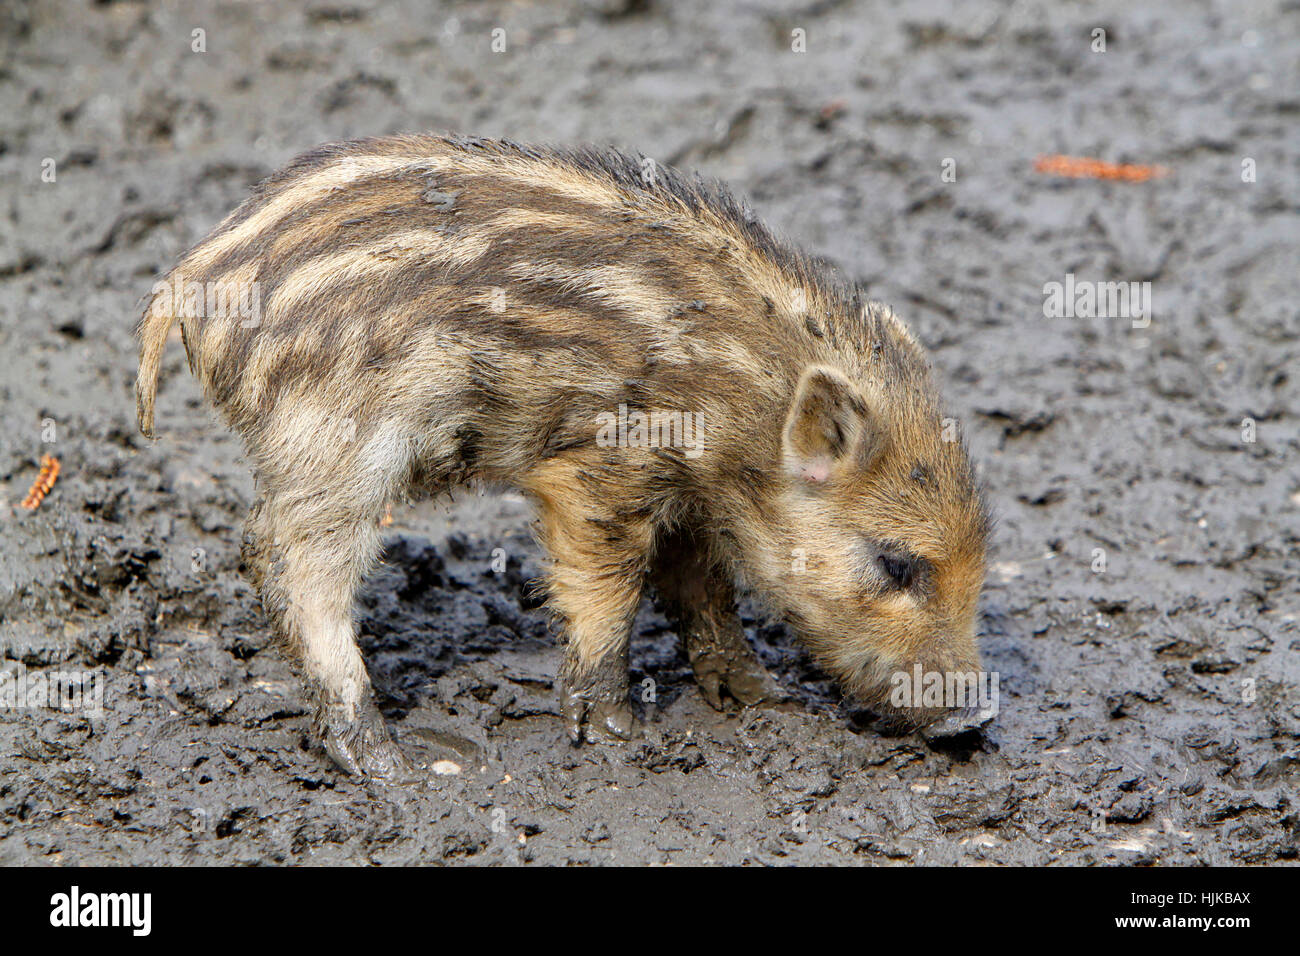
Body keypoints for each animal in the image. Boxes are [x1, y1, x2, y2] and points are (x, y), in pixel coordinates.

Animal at [136, 134, 990, 782]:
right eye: (895, 563)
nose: (975, 721)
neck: (742, 392)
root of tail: (185, 283)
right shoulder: (599, 473)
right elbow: (607, 591)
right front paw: (614, 733)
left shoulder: (688, 498)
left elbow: (704, 588)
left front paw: (759, 697)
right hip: (334, 449)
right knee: (293, 565)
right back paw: (387, 763)